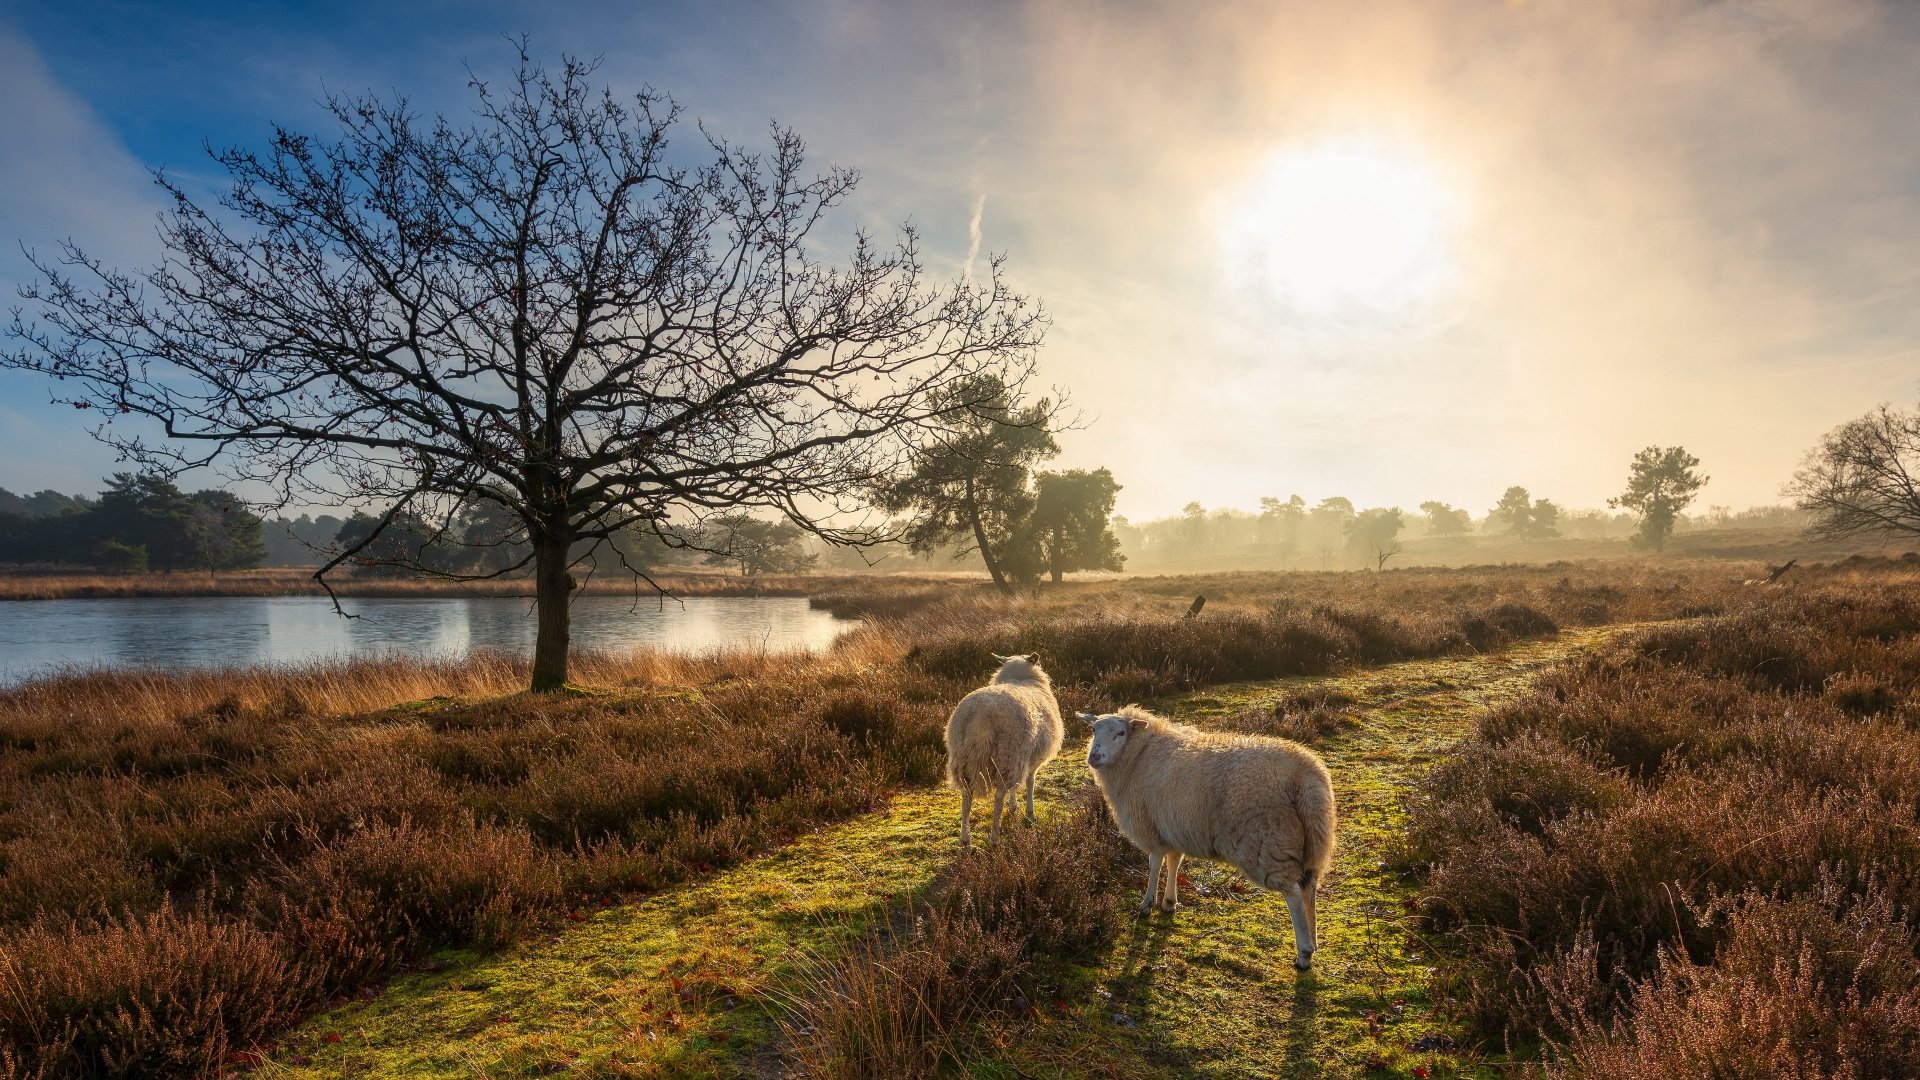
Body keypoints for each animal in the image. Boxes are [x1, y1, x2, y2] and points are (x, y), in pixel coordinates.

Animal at [946, 654, 1065, 847]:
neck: (1020, 679)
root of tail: (980, 718)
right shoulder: (1030, 759)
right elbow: (1030, 782)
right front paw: (1029, 813)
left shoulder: (1023, 759)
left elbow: (1017, 786)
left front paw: (1014, 806)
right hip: (1008, 754)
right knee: (999, 796)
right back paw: (995, 838)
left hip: (962, 758)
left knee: (966, 796)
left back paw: (965, 839)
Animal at [1081, 705, 1337, 971]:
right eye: (1093, 730)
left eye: (1121, 733)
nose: (1094, 757)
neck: (1139, 754)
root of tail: (1306, 775)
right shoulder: (1174, 828)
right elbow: (1174, 862)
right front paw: (1169, 902)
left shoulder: (1152, 828)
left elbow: (1155, 864)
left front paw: (1147, 904)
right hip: (1311, 843)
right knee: (1310, 887)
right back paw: (1313, 940)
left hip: (1269, 842)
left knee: (1294, 893)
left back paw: (1304, 954)